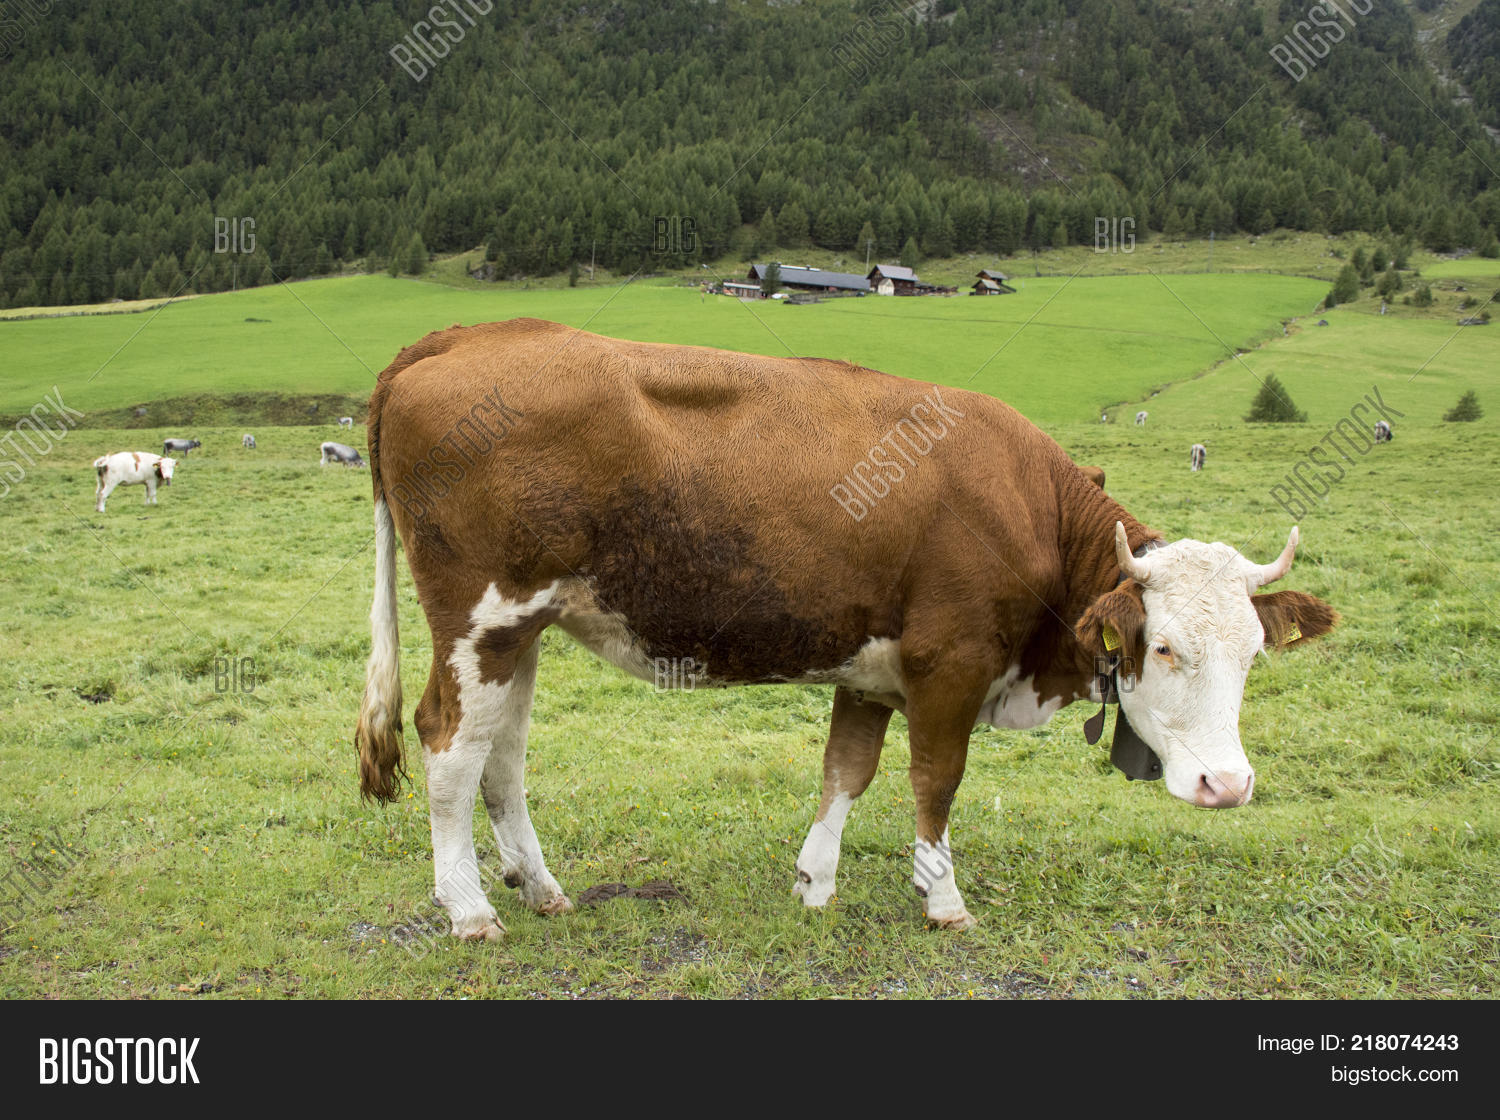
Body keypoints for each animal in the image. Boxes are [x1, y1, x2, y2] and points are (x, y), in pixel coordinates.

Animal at [353, 319, 1337, 940]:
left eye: (1254, 655)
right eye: (1163, 647)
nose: (1228, 786)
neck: (1030, 507)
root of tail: (465, 336)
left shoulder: (870, 670)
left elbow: (846, 774)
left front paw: (815, 882)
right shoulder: (951, 663)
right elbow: (935, 783)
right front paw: (943, 901)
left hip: (522, 631)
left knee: (502, 758)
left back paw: (542, 888)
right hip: (481, 622)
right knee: (448, 745)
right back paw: (469, 909)